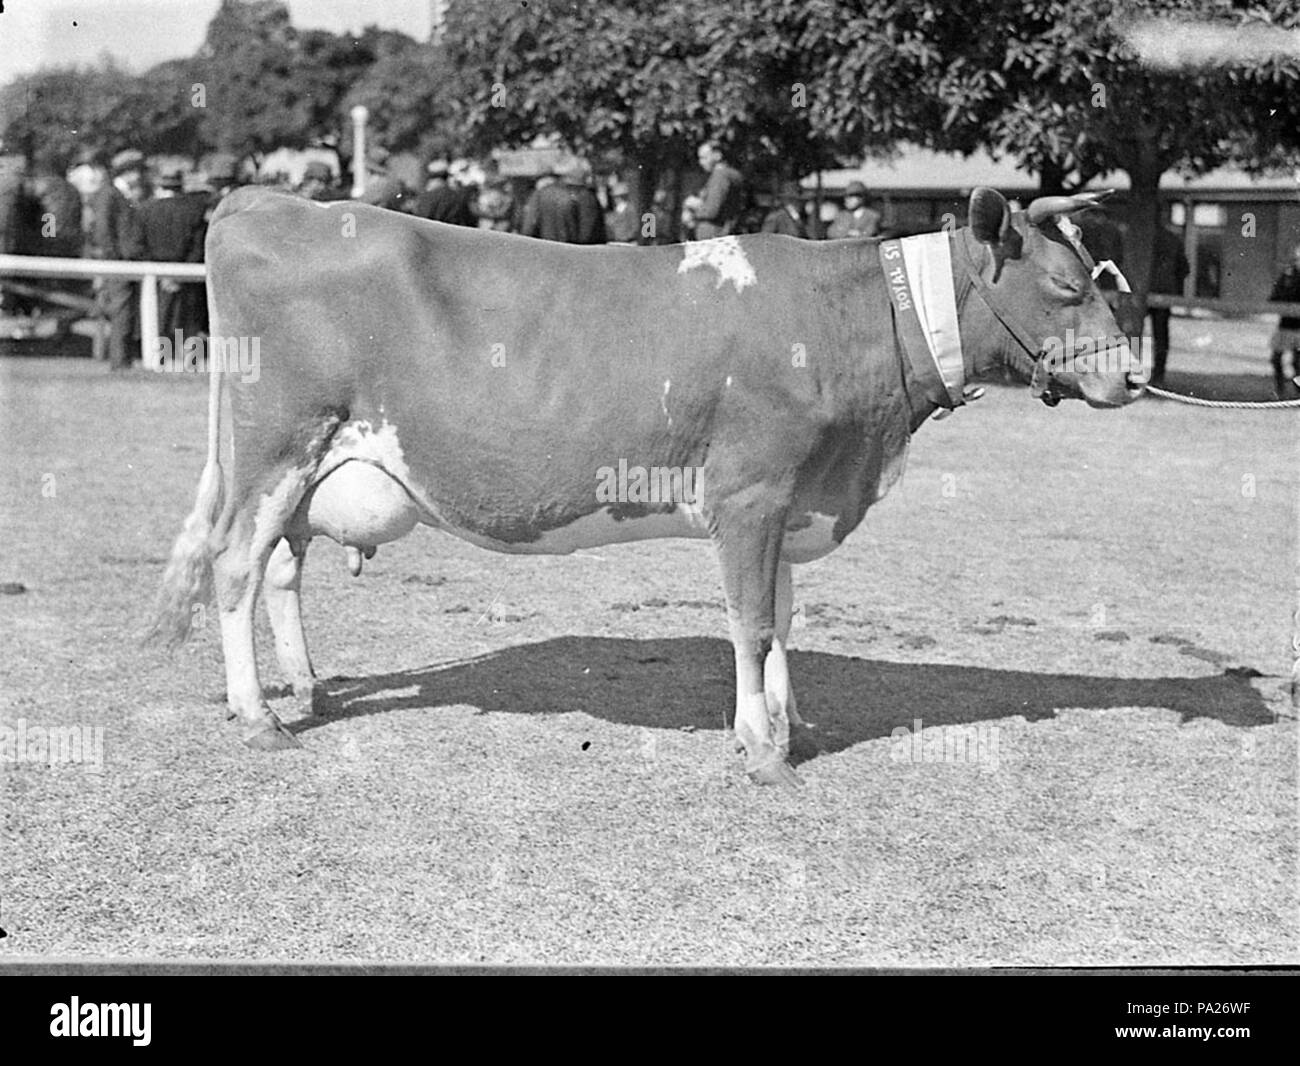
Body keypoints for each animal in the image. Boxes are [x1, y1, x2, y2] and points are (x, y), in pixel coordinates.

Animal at [148, 185, 1144, 786]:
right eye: (1066, 287)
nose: (1132, 376)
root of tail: (268, 201)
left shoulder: (791, 499)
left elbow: (783, 621)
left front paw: (789, 726)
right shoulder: (749, 495)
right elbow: (750, 624)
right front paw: (762, 750)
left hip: (308, 467)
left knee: (282, 568)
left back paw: (306, 689)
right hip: (276, 444)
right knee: (237, 565)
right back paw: (258, 717)